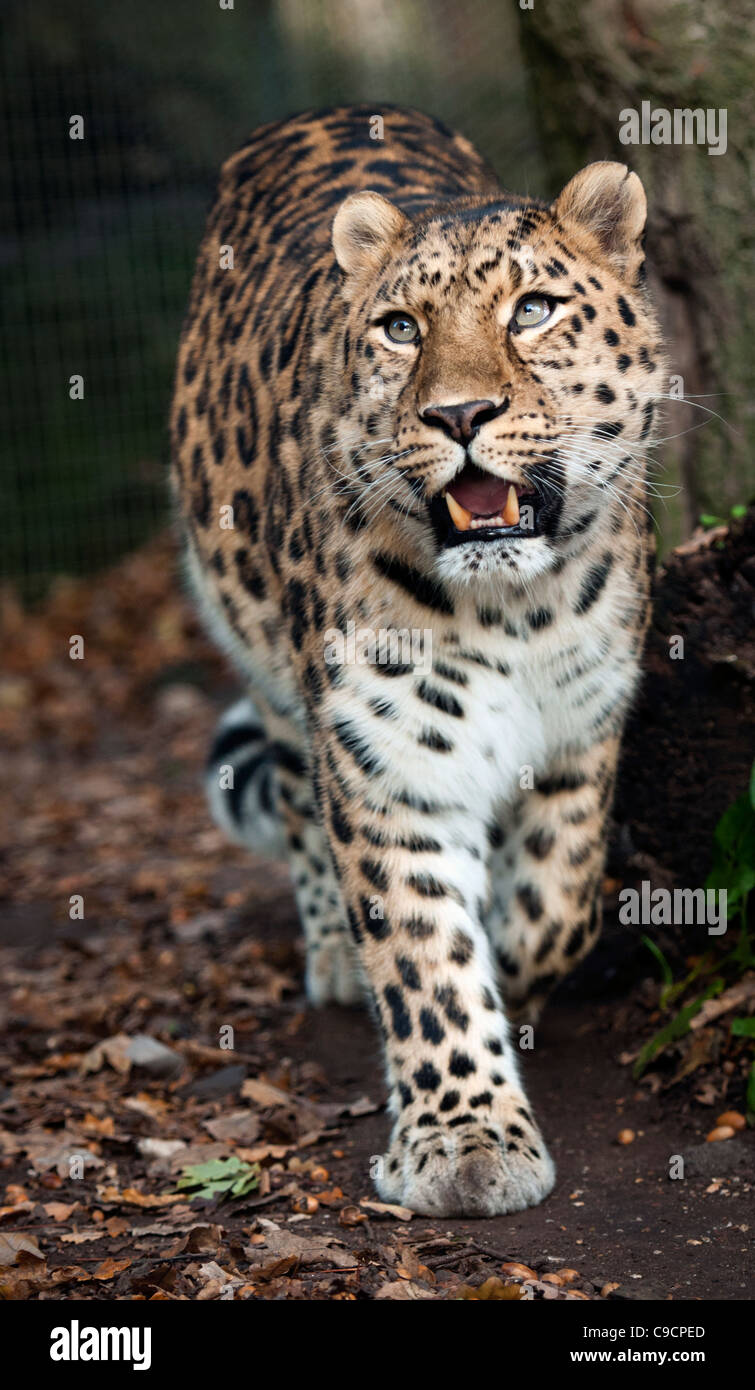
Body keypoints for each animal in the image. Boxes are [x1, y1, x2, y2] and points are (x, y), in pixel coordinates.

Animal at [171, 103, 666, 1218]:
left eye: (533, 310)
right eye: (400, 328)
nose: (457, 415)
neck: (516, 606)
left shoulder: (582, 730)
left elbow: (556, 901)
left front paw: (512, 959)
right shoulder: (388, 755)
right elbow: (423, 950)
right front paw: (463, 1140)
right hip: (266, 659)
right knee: (294, 792)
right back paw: (332, 954)